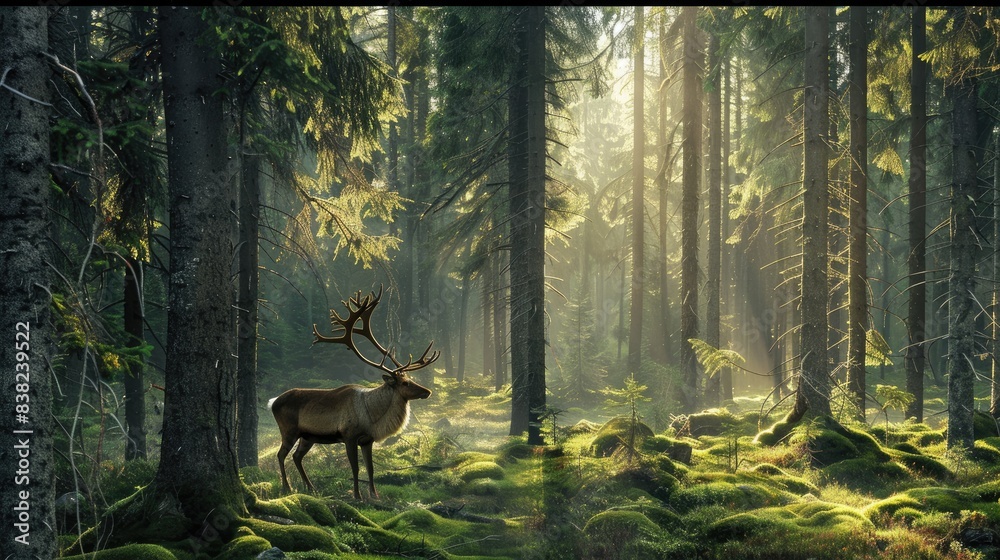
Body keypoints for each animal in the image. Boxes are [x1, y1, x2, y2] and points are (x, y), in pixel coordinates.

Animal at [268, 286, 437, 499]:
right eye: (405, 383)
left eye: (411, 379)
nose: (427, 391)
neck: (372, 417)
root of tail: (273, 401)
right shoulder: (349, 435)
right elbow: (355, 468)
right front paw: (357, 496)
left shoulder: (367, 440)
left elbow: (371, 469)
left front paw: (375, 496)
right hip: (289, 430)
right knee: (281, 454)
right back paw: (287, 487)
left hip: (308, 437)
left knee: (297, 457)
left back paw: (311, 488)